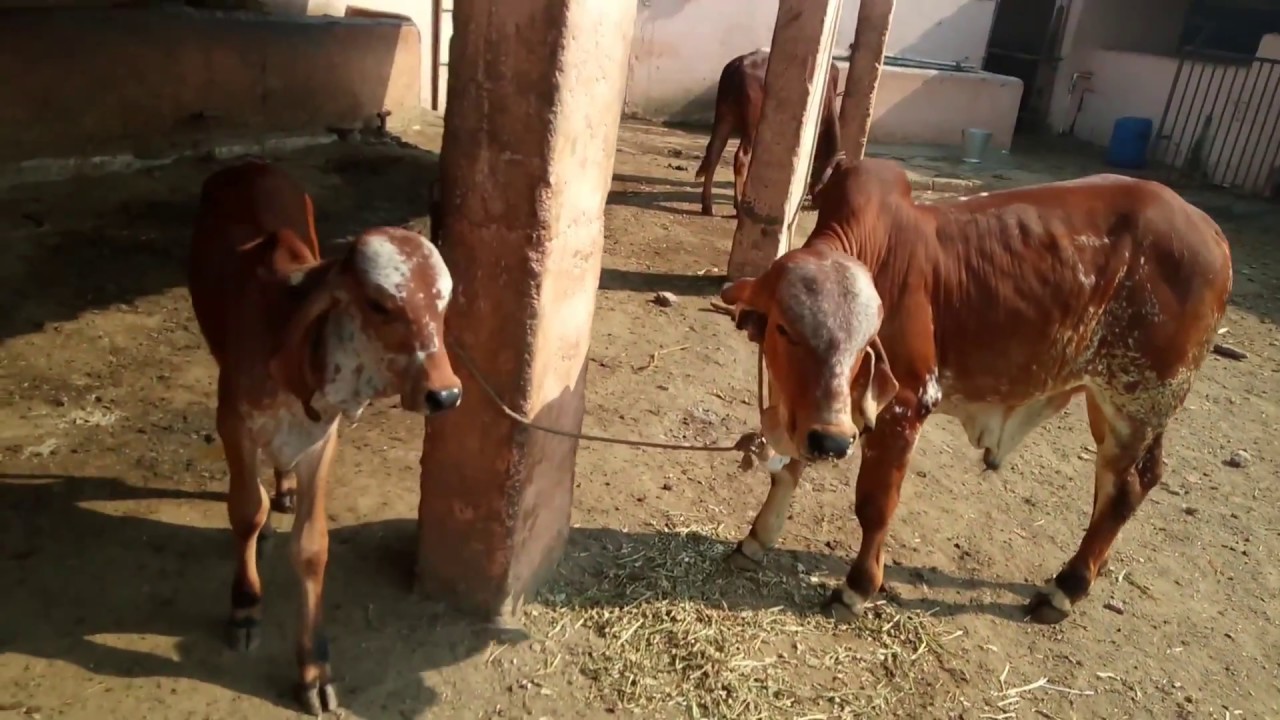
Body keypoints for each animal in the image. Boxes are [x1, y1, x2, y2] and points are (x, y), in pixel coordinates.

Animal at [187, 160, 463, 714]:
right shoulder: (233, 422)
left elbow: (312, 546)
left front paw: (313, 669)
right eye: (379, 305)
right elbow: (245, 512)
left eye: (443, 304)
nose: (444, 394)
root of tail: (250, 165)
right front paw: (245, 606)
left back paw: (285, 488)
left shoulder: (322, 437)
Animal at [695, 48, 843, 217]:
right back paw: (738, 205)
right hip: (752, 124)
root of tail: (737, 65)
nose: (817, 204)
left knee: (714, 153)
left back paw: (707, 205)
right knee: (741, 157)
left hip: (724, 116)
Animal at [719, 155, 1233, 625]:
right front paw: (756, 540)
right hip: (1119, 401)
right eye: (784, 329)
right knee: (1136, 479)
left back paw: (1064, 589)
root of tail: (1211, 229)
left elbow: (874, 505)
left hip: (1138, 396)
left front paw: (857, 588)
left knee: (1122, 487)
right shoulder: (810, 412)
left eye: (867, 342)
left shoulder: (904, 406)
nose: (833, 443)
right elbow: (788, 469)